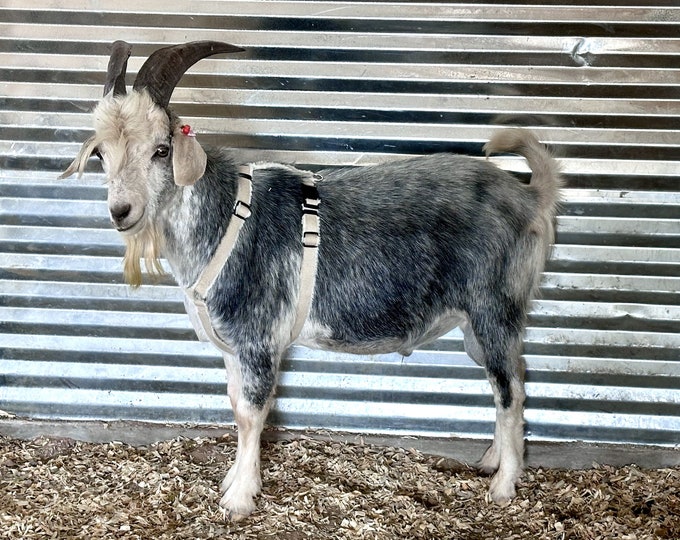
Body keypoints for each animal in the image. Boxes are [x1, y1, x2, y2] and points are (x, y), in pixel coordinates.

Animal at [61, 41, 562, 519]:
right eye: (101, 153)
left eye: (161, 150)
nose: (121, 212)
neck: (226, 218)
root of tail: (529, 197)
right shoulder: (232, 346)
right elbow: (234, 406)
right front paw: (231, 481)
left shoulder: (259, 338)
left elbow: (251, 414)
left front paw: (239, 499)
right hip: (477, 326)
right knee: (507, 383)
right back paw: (491, 461)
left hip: (494, 307)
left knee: (511, 390)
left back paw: (503, 487)